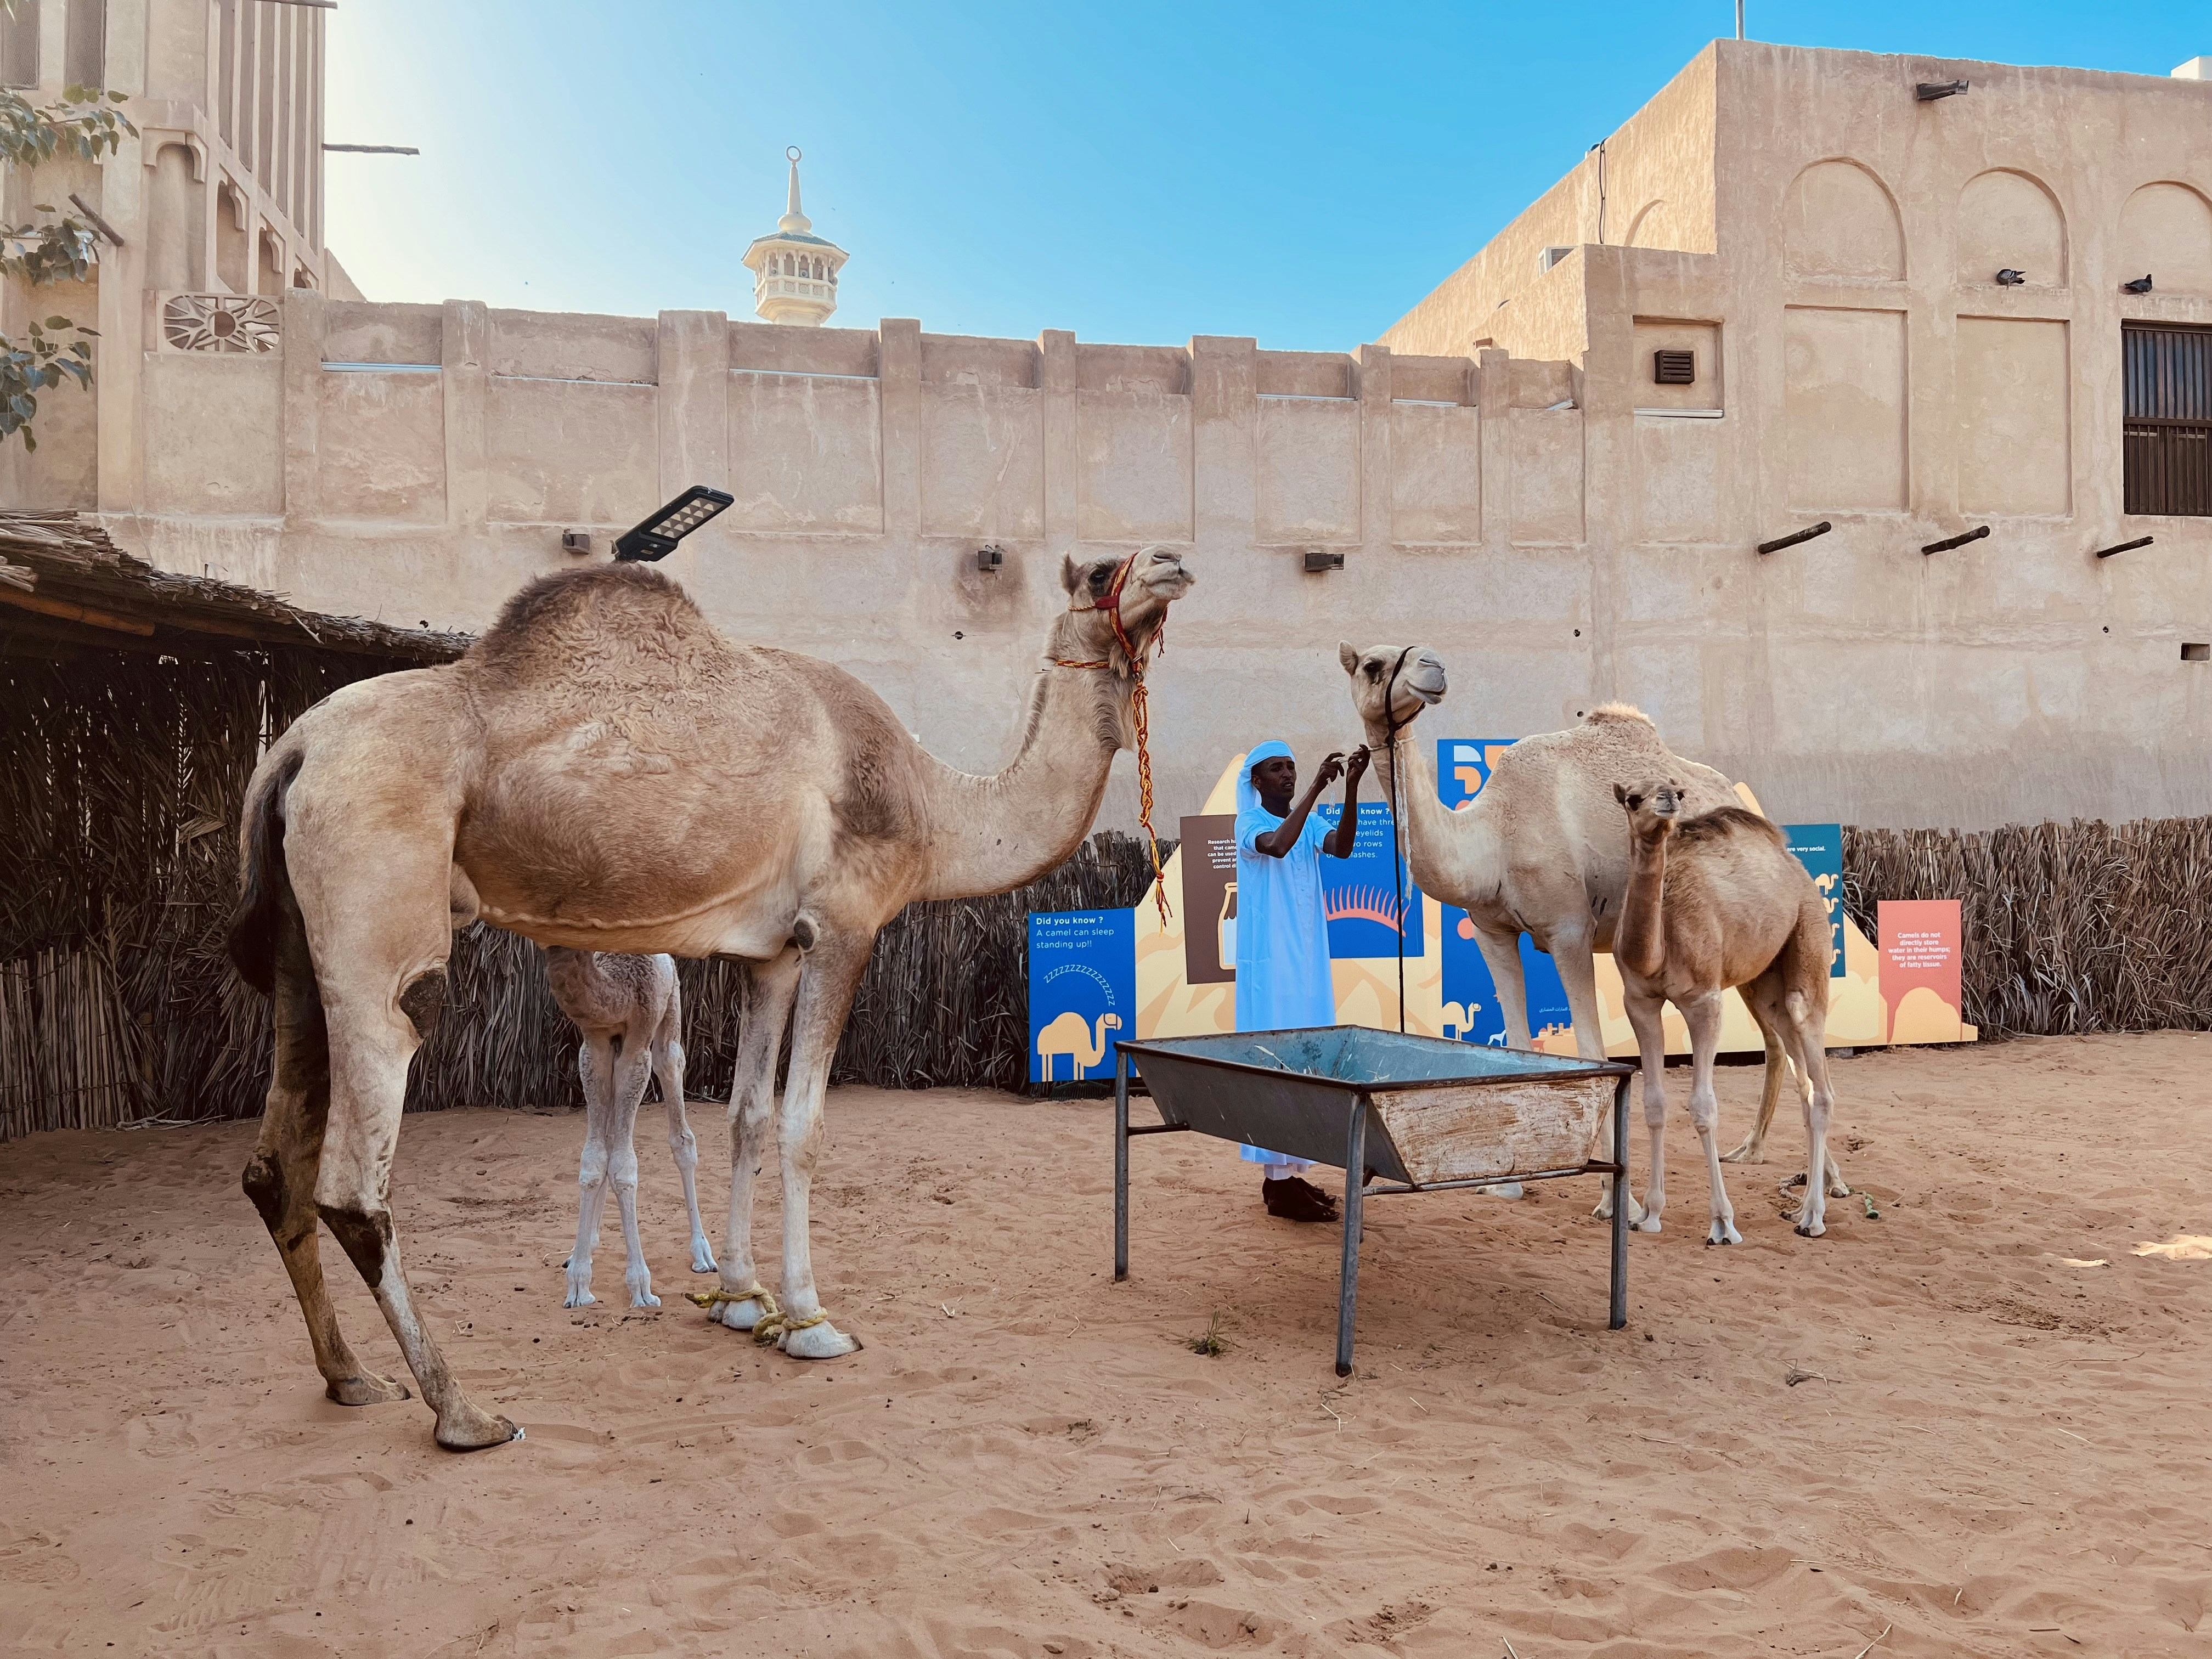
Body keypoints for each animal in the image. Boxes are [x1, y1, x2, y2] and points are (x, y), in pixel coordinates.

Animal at [542, 948, 716, 1309]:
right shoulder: (594, 1044)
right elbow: (595, 1159)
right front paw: (578, 1284)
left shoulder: (638, 1040)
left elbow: (624, 1165)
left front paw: (640, 1287)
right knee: (609, 1142)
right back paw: (583, 1248)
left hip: (670, 1017)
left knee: (682, 1134)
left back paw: (703, 1255)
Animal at [1338, 642, 1739, 1219]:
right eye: (1372, 666)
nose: (1433, 668)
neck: (1492, 837)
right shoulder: (1492, 931)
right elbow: (1517, 1043)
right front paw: (1506, 1185)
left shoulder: (1569, 931)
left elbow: (1593, 1053)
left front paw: (1615, 1201)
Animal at [1611, 778, 1842, 1240]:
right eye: (1633, 798)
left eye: (1677, 793)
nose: (1667, 799)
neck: (1658, 942)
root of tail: (1798, 870)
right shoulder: (1639, 1001)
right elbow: (1654, 1105)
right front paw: (1649, 1215)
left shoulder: (1704, 1001)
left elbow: (1704, 1107)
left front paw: (1722, 1222)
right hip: (1763, 987)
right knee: (1803, 1082)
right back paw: (1807, 1200)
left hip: (1809, 942)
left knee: (1820, 1084)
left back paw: (1813, 1217)